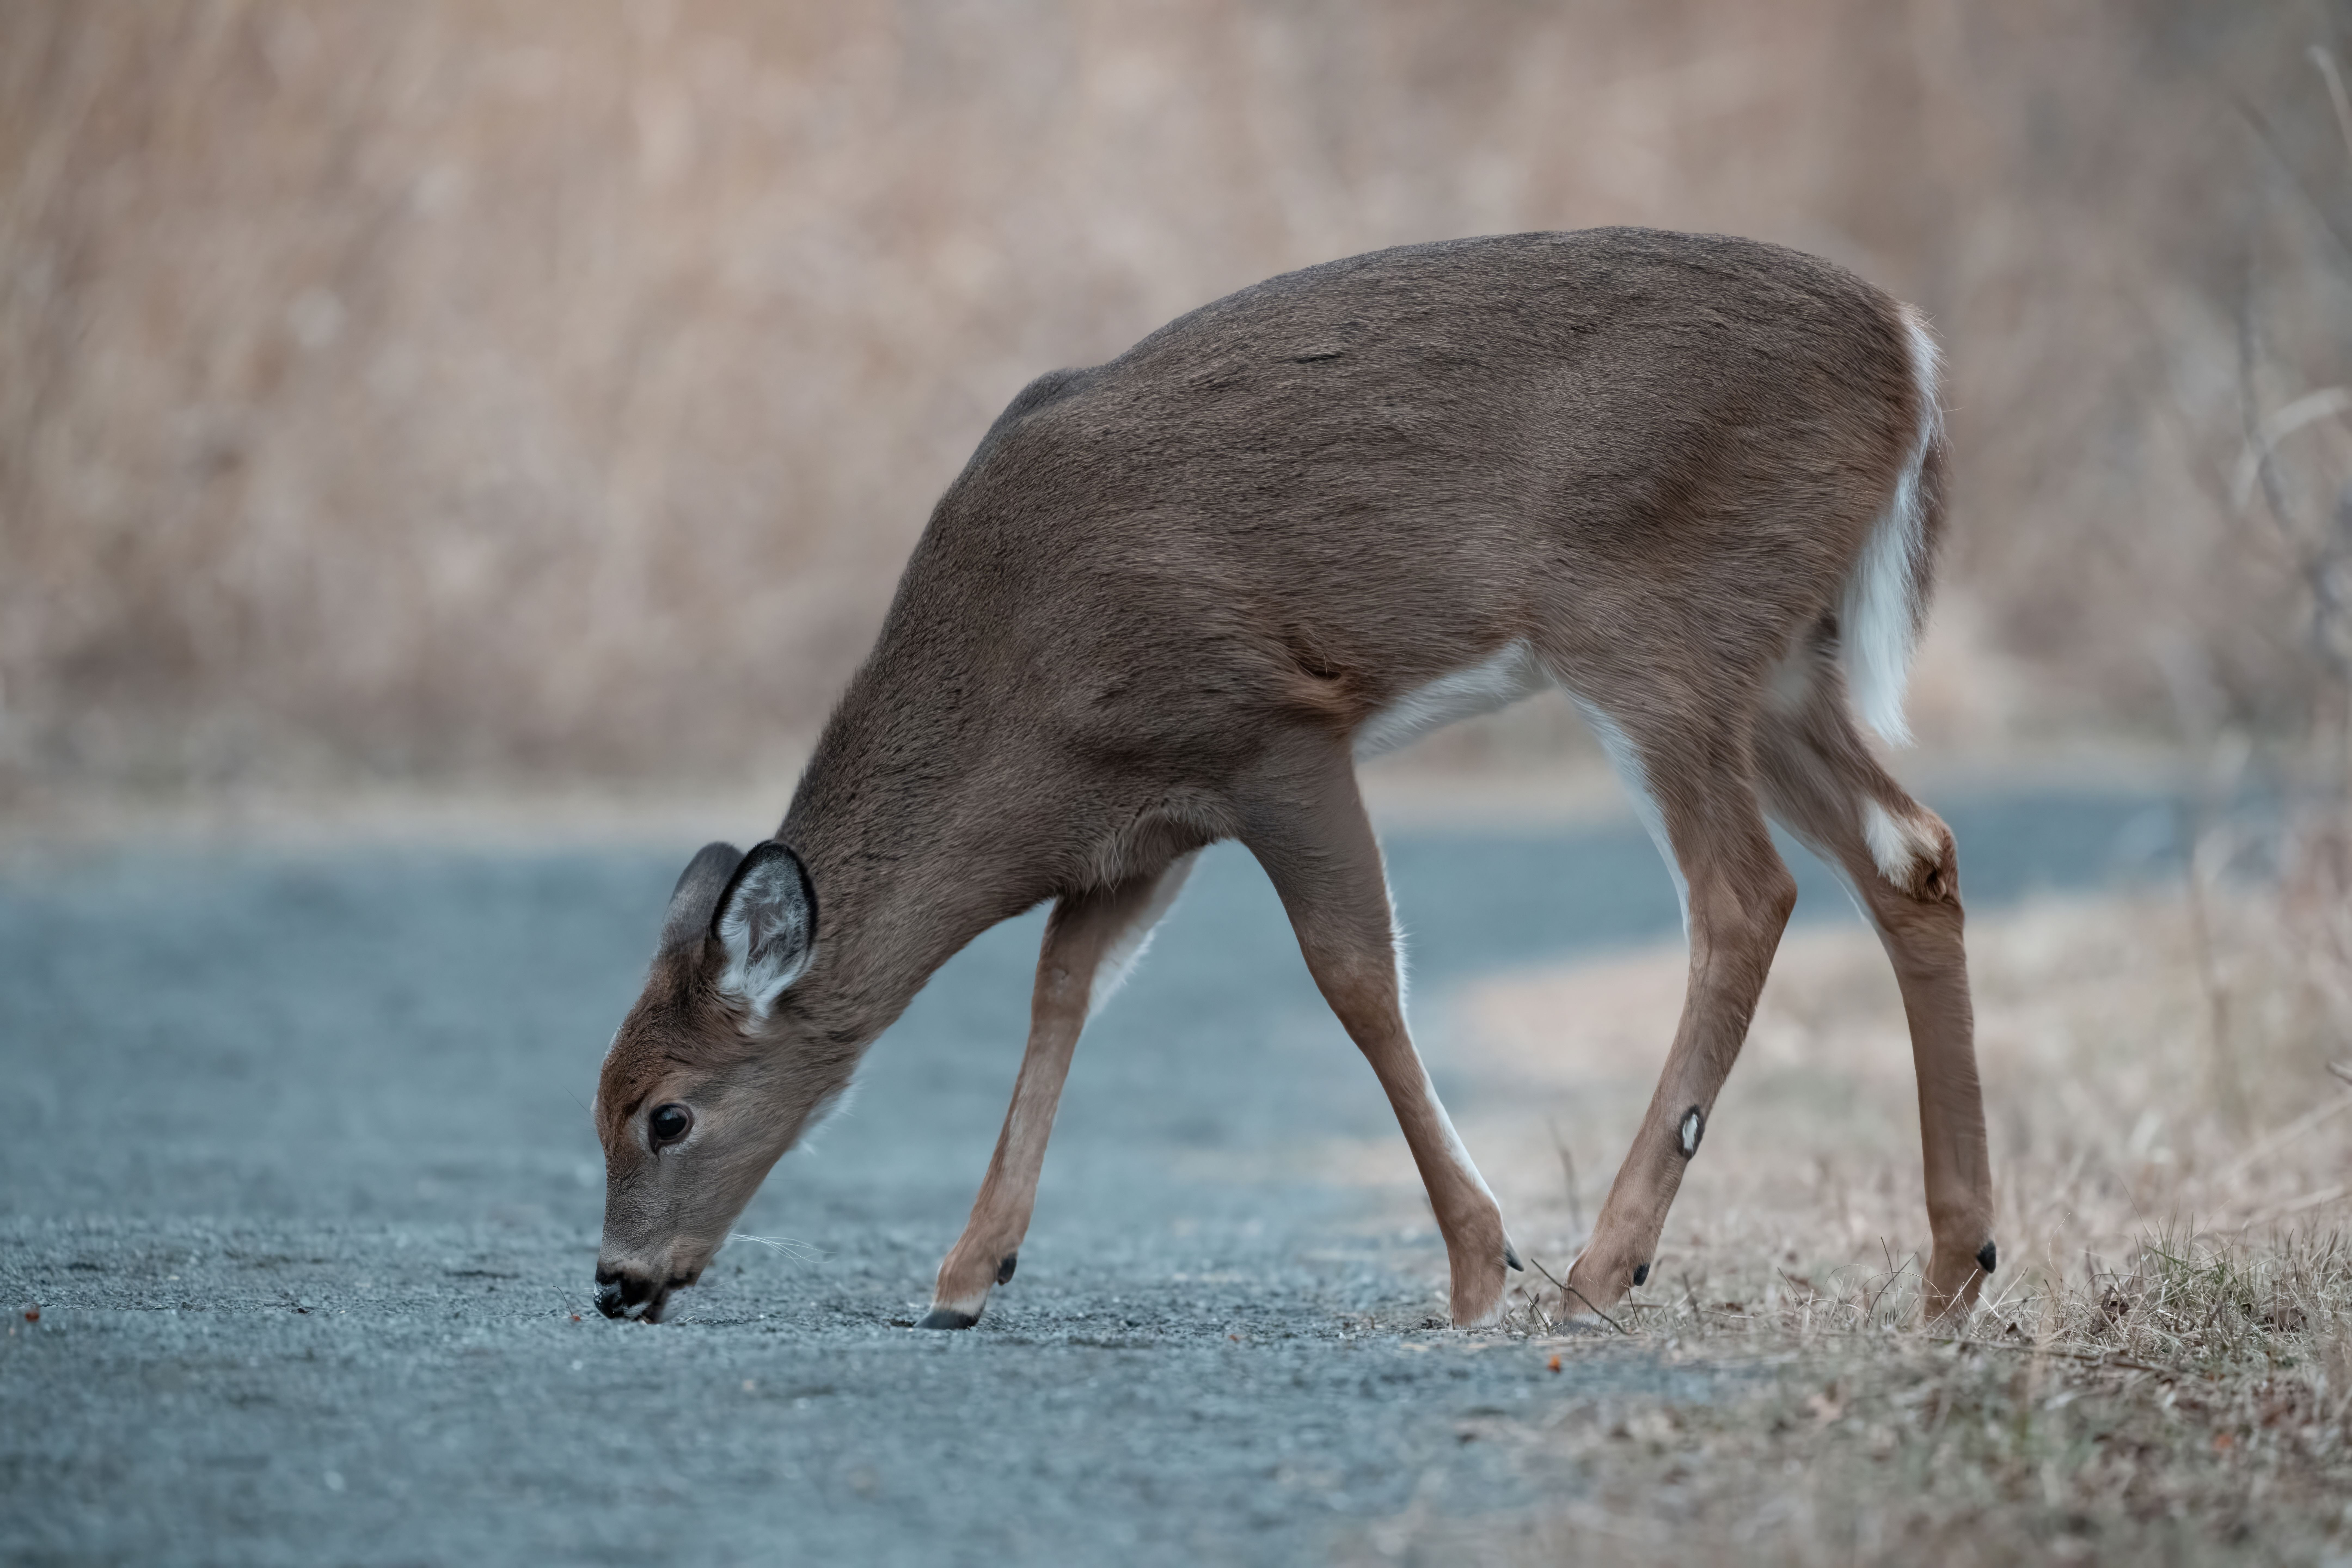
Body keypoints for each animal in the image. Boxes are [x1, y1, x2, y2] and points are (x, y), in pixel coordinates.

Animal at [591, 227, 1994, 1333]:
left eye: (665, 1114)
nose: (614, 1280)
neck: (1021, 702)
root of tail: (1916, 355)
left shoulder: (1269, 730)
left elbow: (1355, 976)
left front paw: (1480, 1268)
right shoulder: (1142, 826)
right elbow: (1063, 993)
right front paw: (968, 1274)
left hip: (1656, 632)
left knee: (1747, 893)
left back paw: (1603, 1269)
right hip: (1784, 661)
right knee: (1912, 852)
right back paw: (1953, 1271)